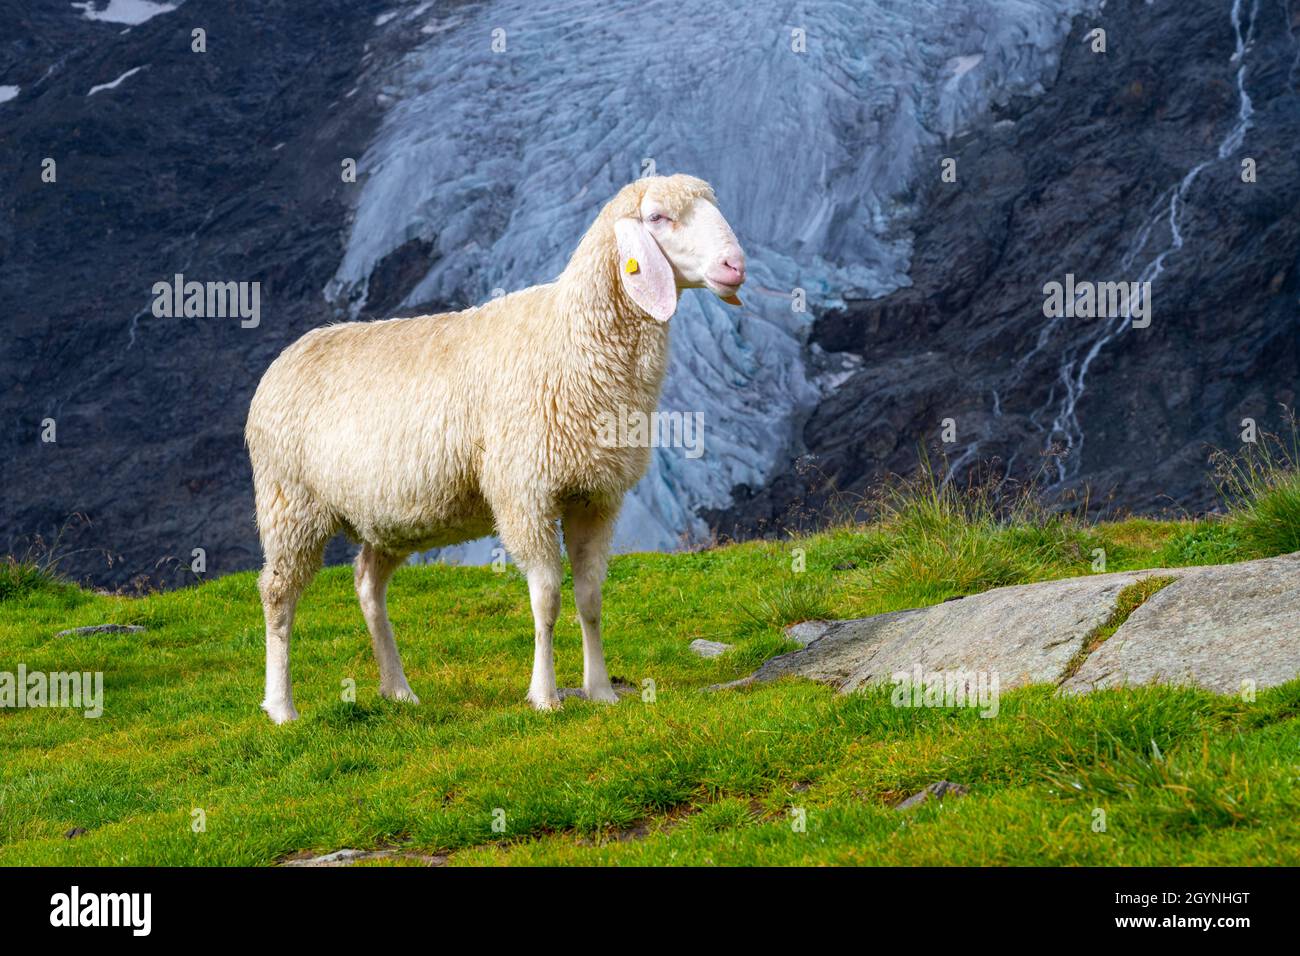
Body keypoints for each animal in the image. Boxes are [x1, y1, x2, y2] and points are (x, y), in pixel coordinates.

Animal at [245, 174, 747, 723]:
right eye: (658, 218)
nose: (735, 266)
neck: (573, 340)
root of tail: (286, 357)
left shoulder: (596, 496)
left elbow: (590, 598)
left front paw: (600, 691)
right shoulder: (525, 492)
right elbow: (547, 599)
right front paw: (545, 697)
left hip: (385, 517)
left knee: (367, 585)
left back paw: (397, 689)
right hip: (290, 502)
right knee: (277, 595)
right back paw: (280, 706)